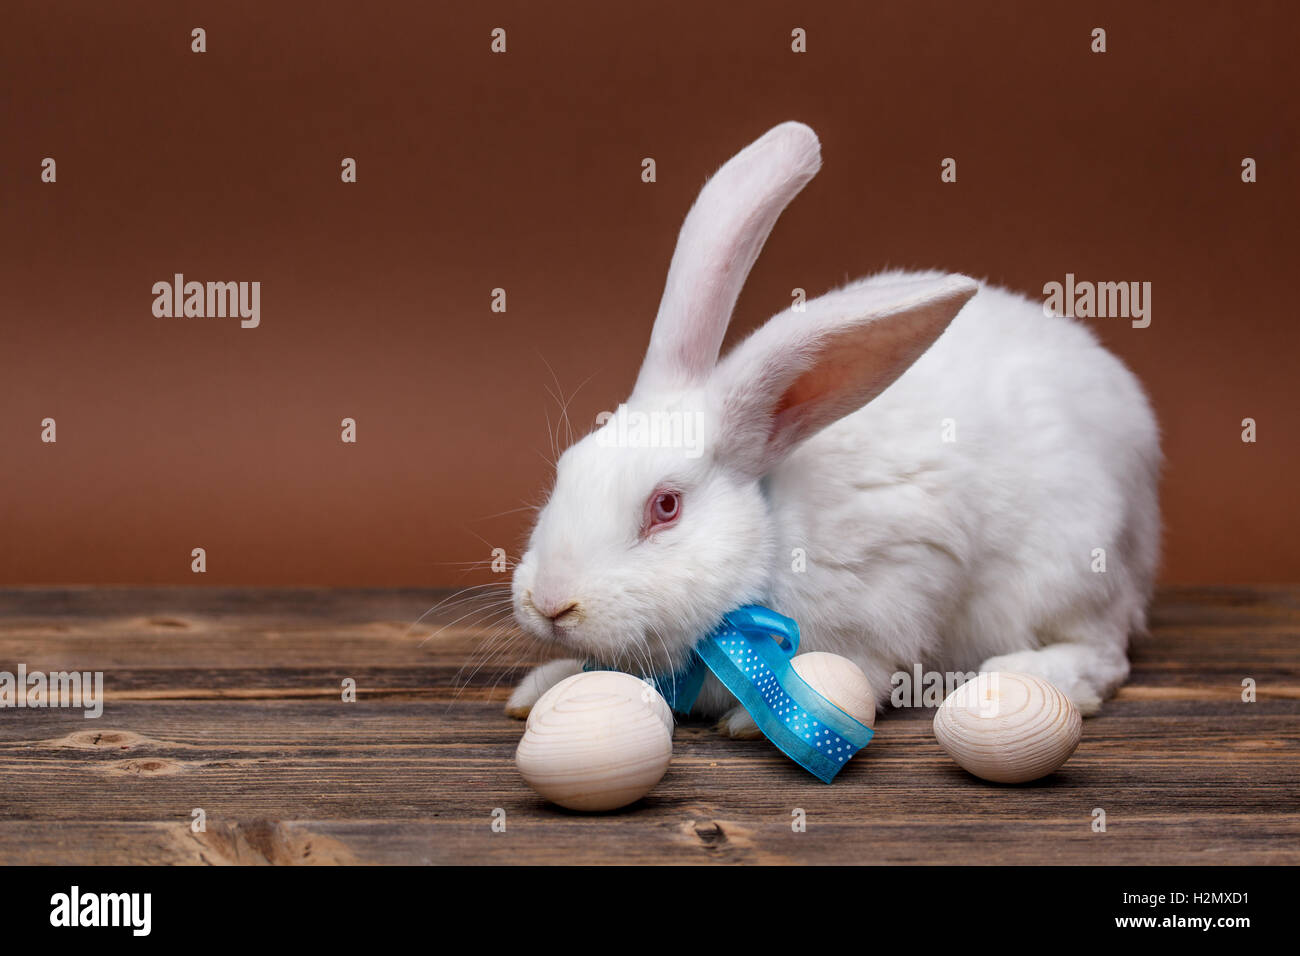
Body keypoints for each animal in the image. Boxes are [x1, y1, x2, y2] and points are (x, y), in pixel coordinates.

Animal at [505, 121, 1160, 736]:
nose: (551, 604)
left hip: (1069, 570)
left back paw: (1031, 672)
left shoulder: (897, 589)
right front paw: (541, 686)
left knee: (1104, 652)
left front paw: (752, 719)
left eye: (666, 506)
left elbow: (861, 672)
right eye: (564, 471)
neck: (771, 532)